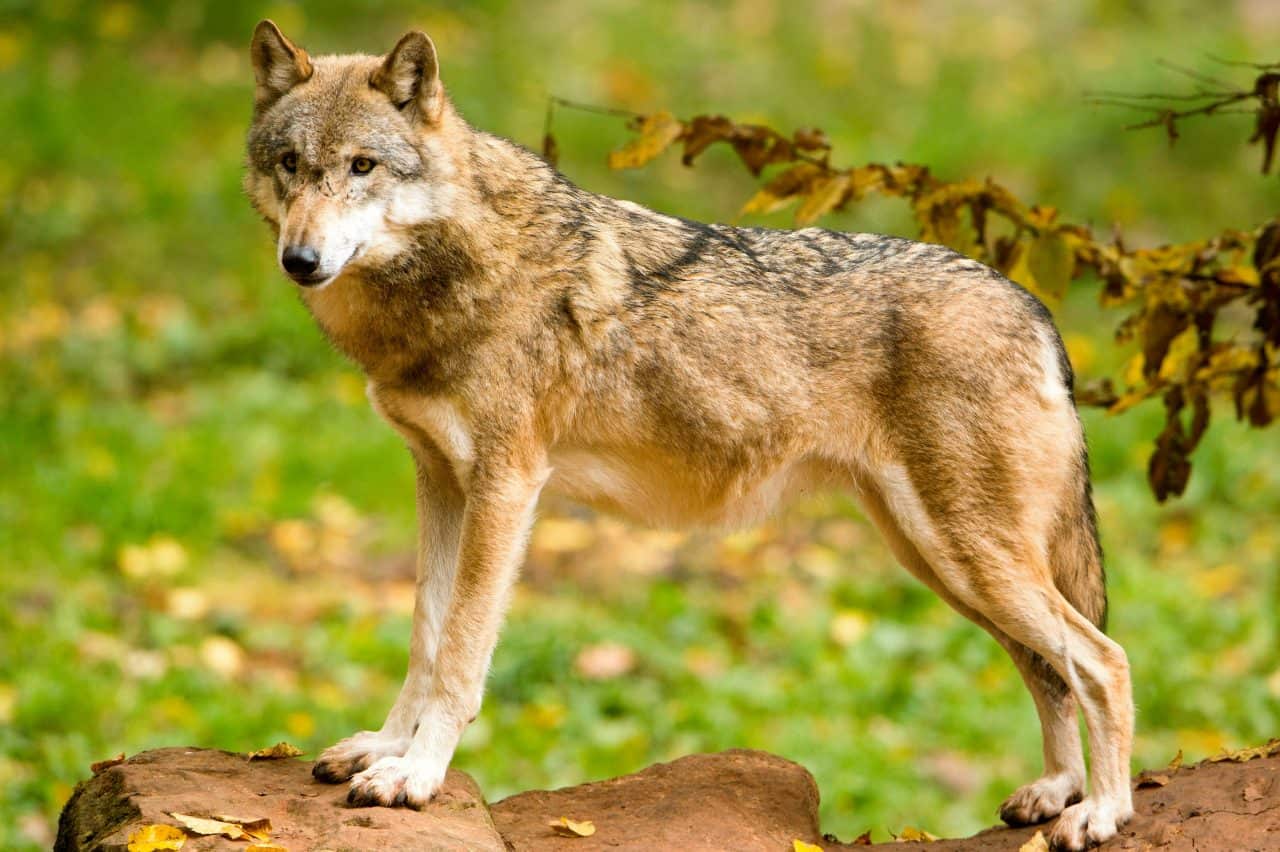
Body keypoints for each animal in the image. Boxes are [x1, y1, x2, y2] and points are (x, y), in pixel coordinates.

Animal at [244, 20, 1134, 850]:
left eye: (363, 166)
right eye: (290, 163)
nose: (299, 259)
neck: (448, 276)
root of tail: (1035, 307)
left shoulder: (505, 487)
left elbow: (460, 655)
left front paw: (417, 775)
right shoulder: (437, 478)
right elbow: (425, 636)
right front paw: (384, 748)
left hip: (968, 556)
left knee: (1104, 661)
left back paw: (1101, 812)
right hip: (940, 560)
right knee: (1050, 667)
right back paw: (1055, 791)